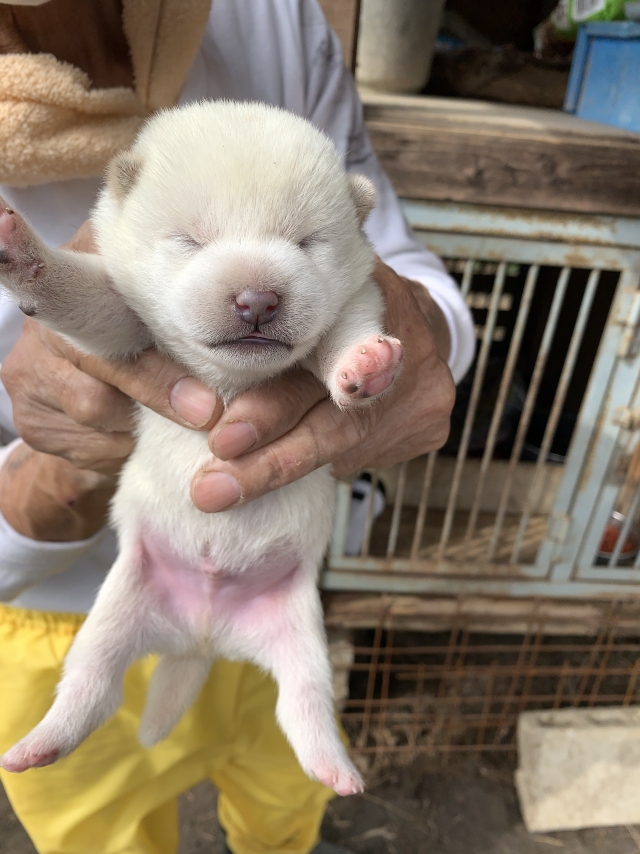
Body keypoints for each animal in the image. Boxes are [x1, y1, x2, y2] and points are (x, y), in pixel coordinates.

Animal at [0, 103, 402, 800]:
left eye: (305, 243)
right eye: (190, 241)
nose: (258, 297)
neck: (230, 377)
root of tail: (205, 635)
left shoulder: (354, 300)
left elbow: (344, 331)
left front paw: (365, 365)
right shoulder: (127, 318)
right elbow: (82, 295)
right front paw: (19, 251)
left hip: (302, 631)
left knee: (303, 702)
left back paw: (336, 768)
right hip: (119, 609)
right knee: (90, 684)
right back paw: (41, 742)